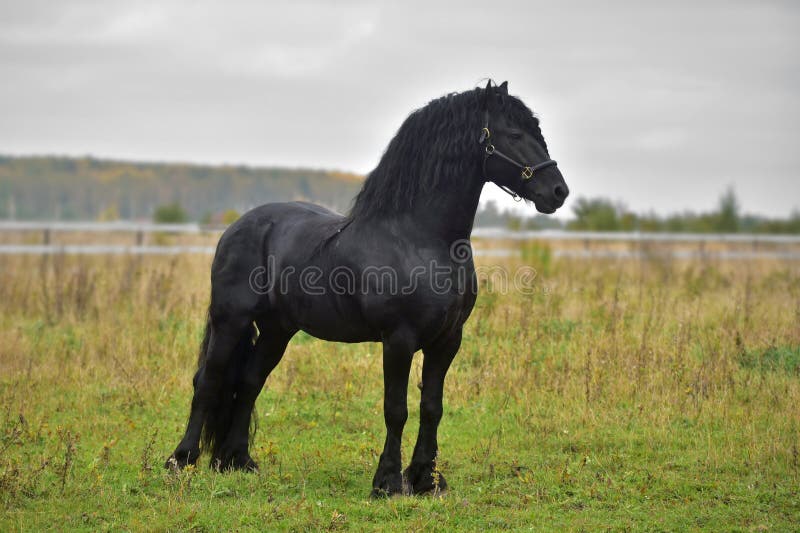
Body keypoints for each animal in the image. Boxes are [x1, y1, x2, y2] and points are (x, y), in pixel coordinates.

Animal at [165, 80, 569, 497]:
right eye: (515, 134)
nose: (558, 192)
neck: (420, 238)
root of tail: (237, 226)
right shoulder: (399, 339)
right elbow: (396, 409)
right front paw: (388, 482)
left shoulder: (447, 340)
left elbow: (432, 407)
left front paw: (426, 479)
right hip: (231, 320)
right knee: (208, 381)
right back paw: (181, 460)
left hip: (278, 330)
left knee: (248, 382)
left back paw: (237, 461)